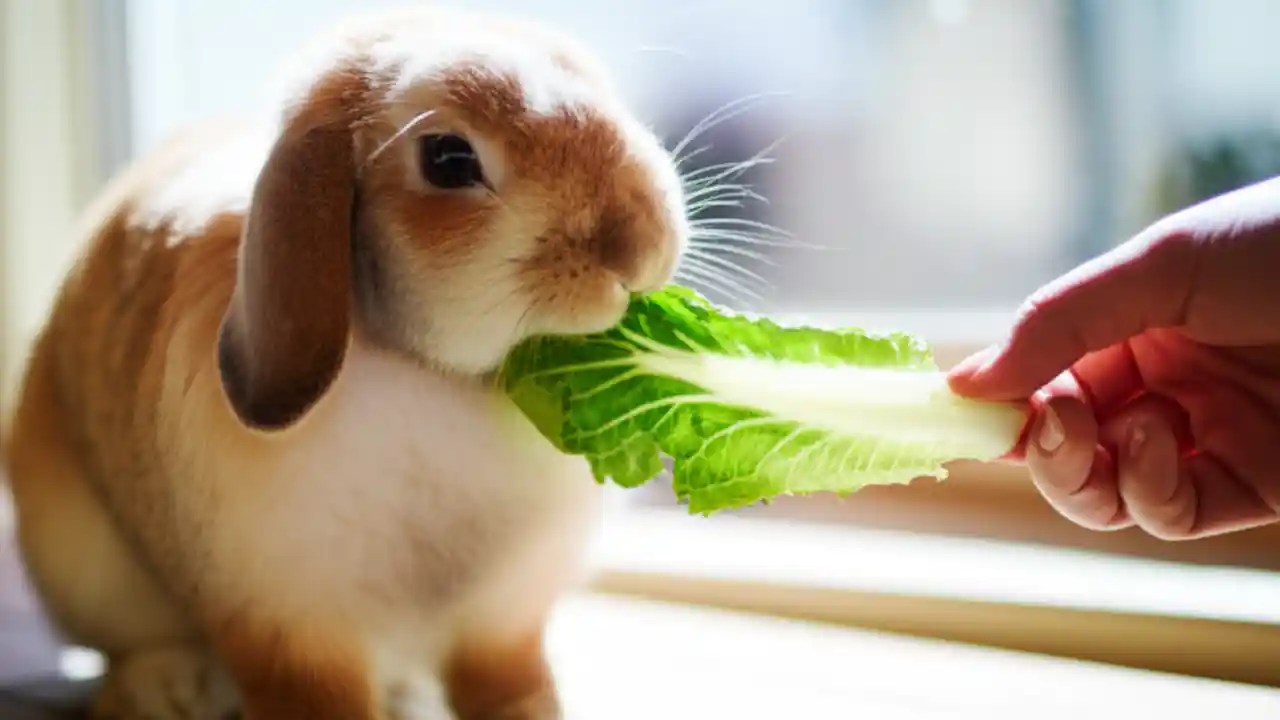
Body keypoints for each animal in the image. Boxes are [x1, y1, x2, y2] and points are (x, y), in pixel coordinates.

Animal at [2, 6, 688, 719]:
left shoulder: (502, 623)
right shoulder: (289, 627)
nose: (636, 246)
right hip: (83, 564)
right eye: (448, 159)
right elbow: (318, 698)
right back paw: (165, 690)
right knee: (130, 647)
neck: (431, 373)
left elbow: (511, 682)